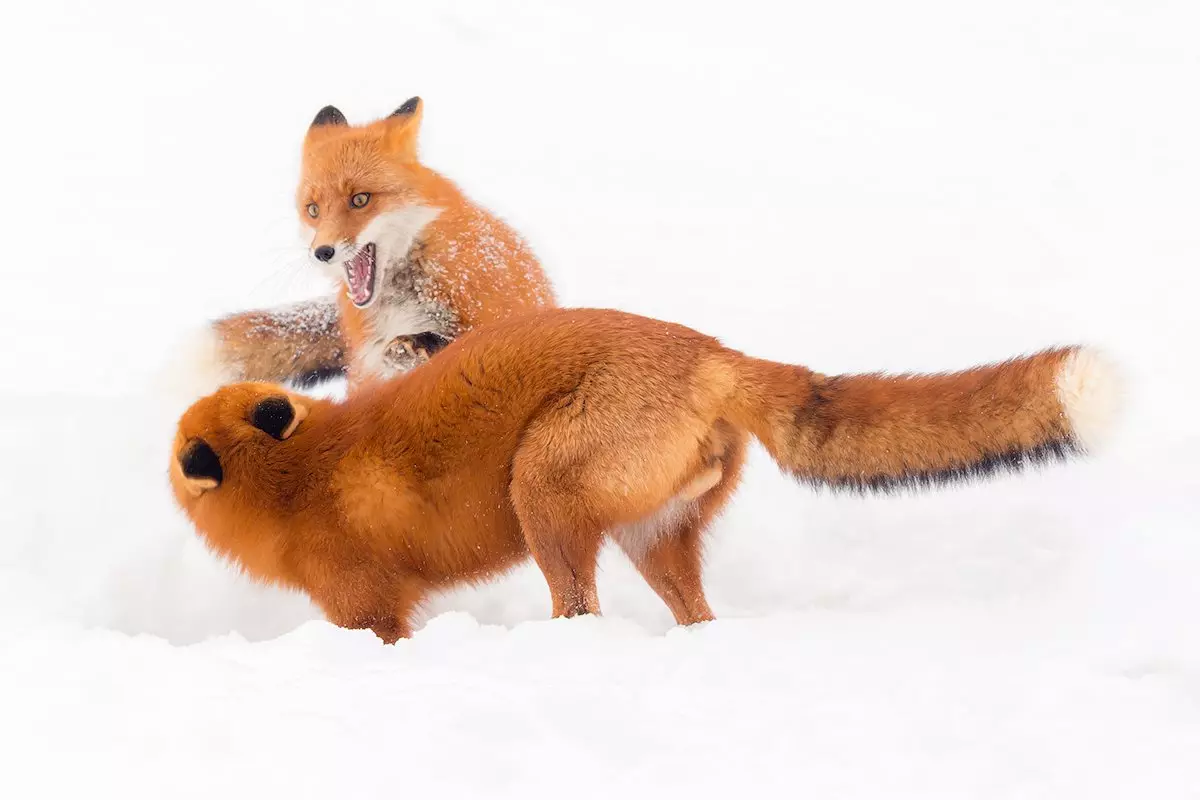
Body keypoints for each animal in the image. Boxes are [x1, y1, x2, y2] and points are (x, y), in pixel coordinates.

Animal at [166, 309, 1113, 642]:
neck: (302, 474)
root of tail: (712, 351)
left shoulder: (362, 604)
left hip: (542, 493)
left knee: (580, 606)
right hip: (655, 536)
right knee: (696, 613)